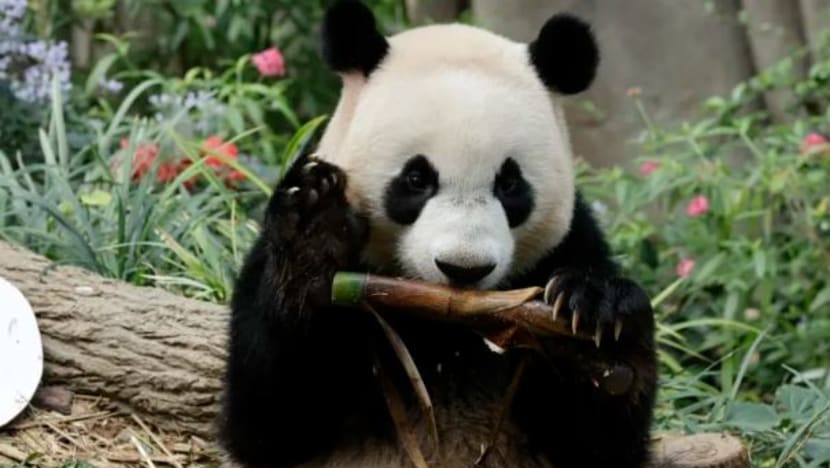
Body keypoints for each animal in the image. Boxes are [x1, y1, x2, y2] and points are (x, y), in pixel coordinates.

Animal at [219, 1, 657, 467]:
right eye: (416, 179)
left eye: (509, 183)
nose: (464, 268)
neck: (448, 327)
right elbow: (269, 418)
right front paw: (316, 227)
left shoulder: (570, 242)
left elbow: (600, 442)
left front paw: (597, 318)